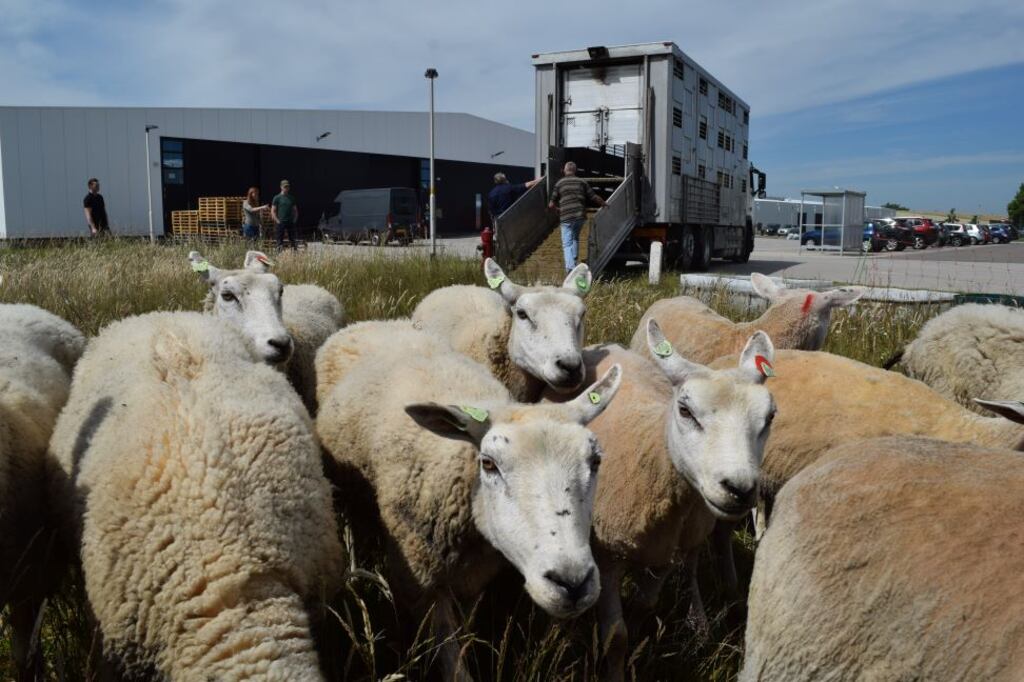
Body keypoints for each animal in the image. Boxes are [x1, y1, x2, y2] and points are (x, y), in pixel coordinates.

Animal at [314, 320, 622, 681]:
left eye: (596, 460)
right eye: (488, 463)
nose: (572, 583)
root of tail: (371, 323)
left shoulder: (473, 578)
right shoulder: (422, 584)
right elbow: (453, 663)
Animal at [545, 321, 777, 682]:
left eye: (770, 418)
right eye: (685, 411)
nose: (739, 489)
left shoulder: (664, 555)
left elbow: (645, 605)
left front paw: (641, 637)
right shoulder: (606, 557)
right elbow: (615, 637)